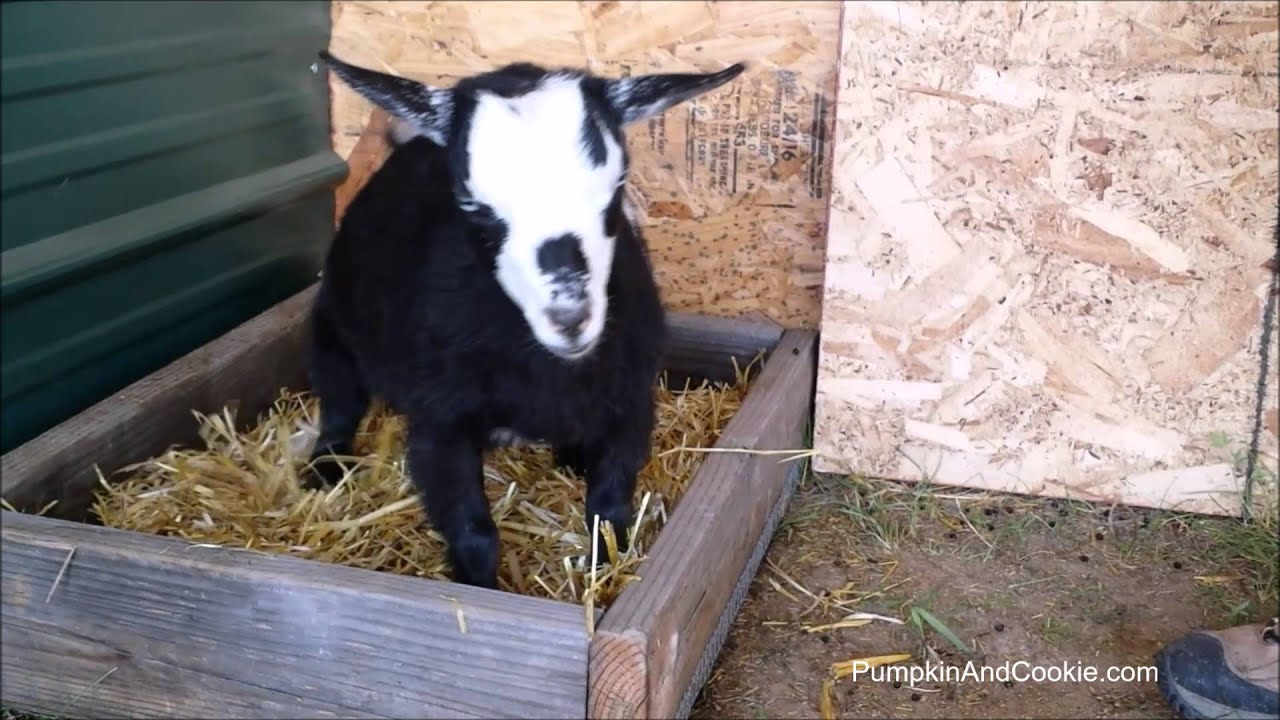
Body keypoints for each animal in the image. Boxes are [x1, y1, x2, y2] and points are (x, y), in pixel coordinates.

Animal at [307, 51, 746, 589]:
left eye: (615, 191)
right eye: (474, 207)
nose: (569, 317)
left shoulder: (631, 397)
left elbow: (609, 508)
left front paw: (603, 571)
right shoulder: (438, 419)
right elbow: (472, 530)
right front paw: (480, 588)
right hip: (331, 333)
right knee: (339, 399)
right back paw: (324, 469)